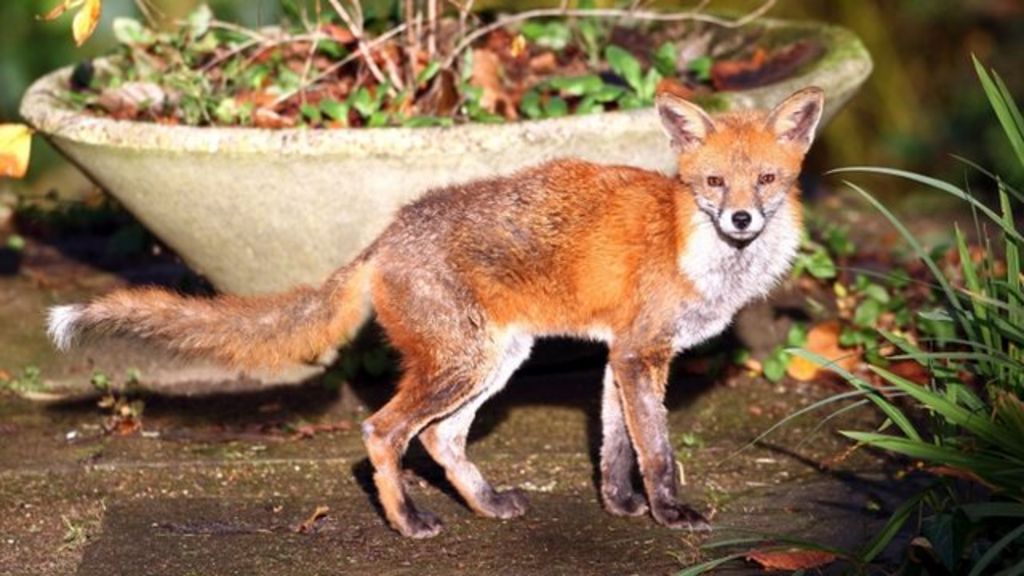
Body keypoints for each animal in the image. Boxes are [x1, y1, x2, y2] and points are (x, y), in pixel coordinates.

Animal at [46, 86, 825, 538]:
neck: (695, 243)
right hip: (463, 364)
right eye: (713, 183)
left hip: (493, 362)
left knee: (442, 440)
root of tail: (386, 234)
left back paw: (485, 506)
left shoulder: (620, 354)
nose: (743, 220)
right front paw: (669, 514)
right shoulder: (641, 354)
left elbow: (615, 448)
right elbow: (657, 450)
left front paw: (620, 507)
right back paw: (410, 523)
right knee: (385, 431)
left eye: (768, 179)